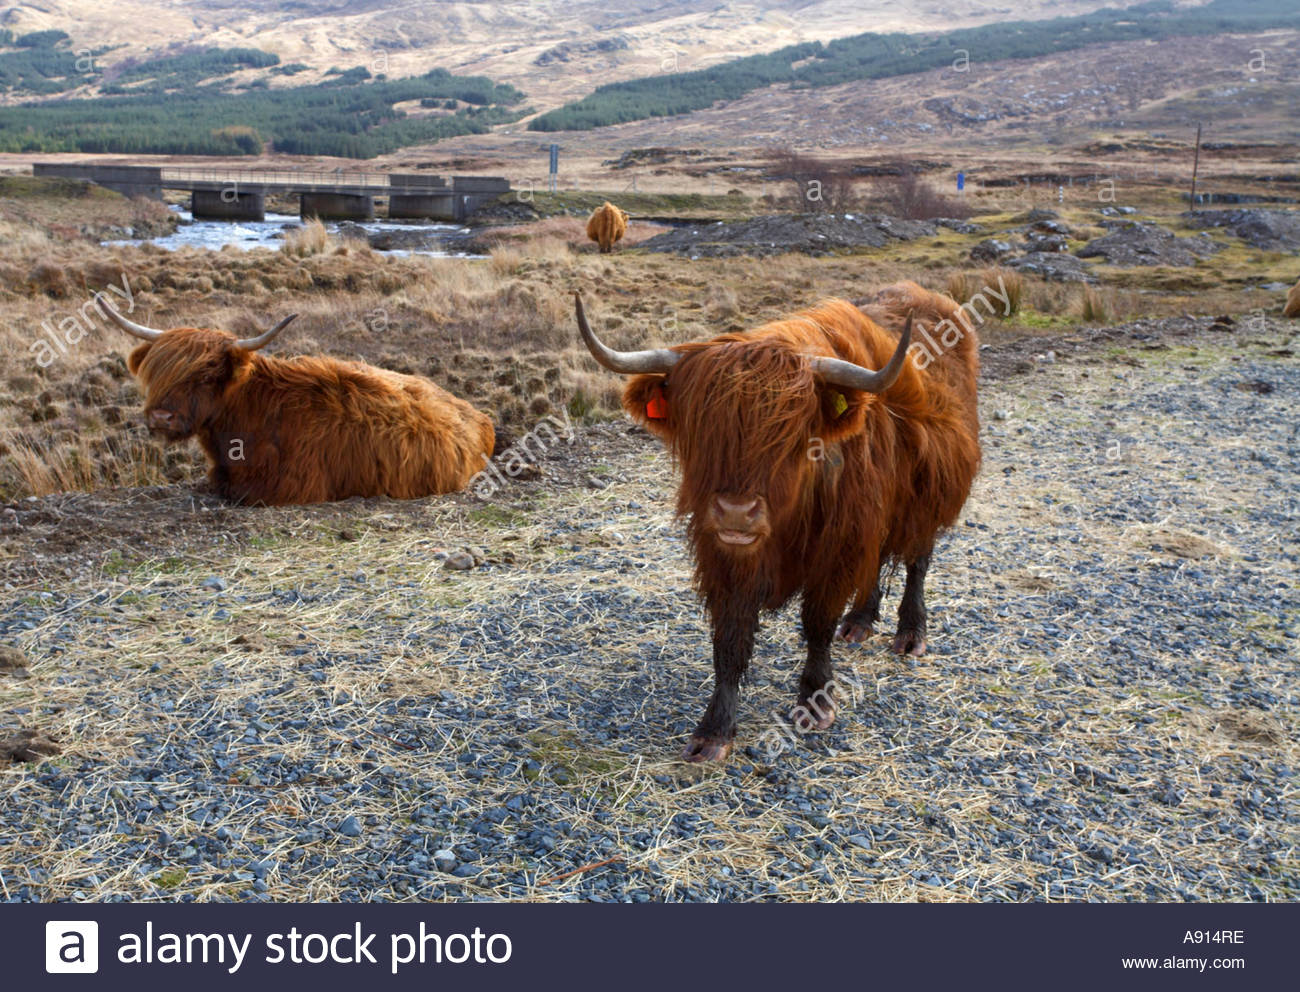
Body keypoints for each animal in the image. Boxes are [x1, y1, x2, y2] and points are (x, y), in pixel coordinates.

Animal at [575, 281, 981, 761]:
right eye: (701, 429)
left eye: (789, 436)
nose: (736, 512)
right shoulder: (725, 557)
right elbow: (730, 640)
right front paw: (714, 731)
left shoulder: (836, 549)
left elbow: (818, 624)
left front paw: (815, 700)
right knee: (878, 560)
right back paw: (860, 621)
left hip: (928, 496)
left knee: (918, 560)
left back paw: (911, 633)